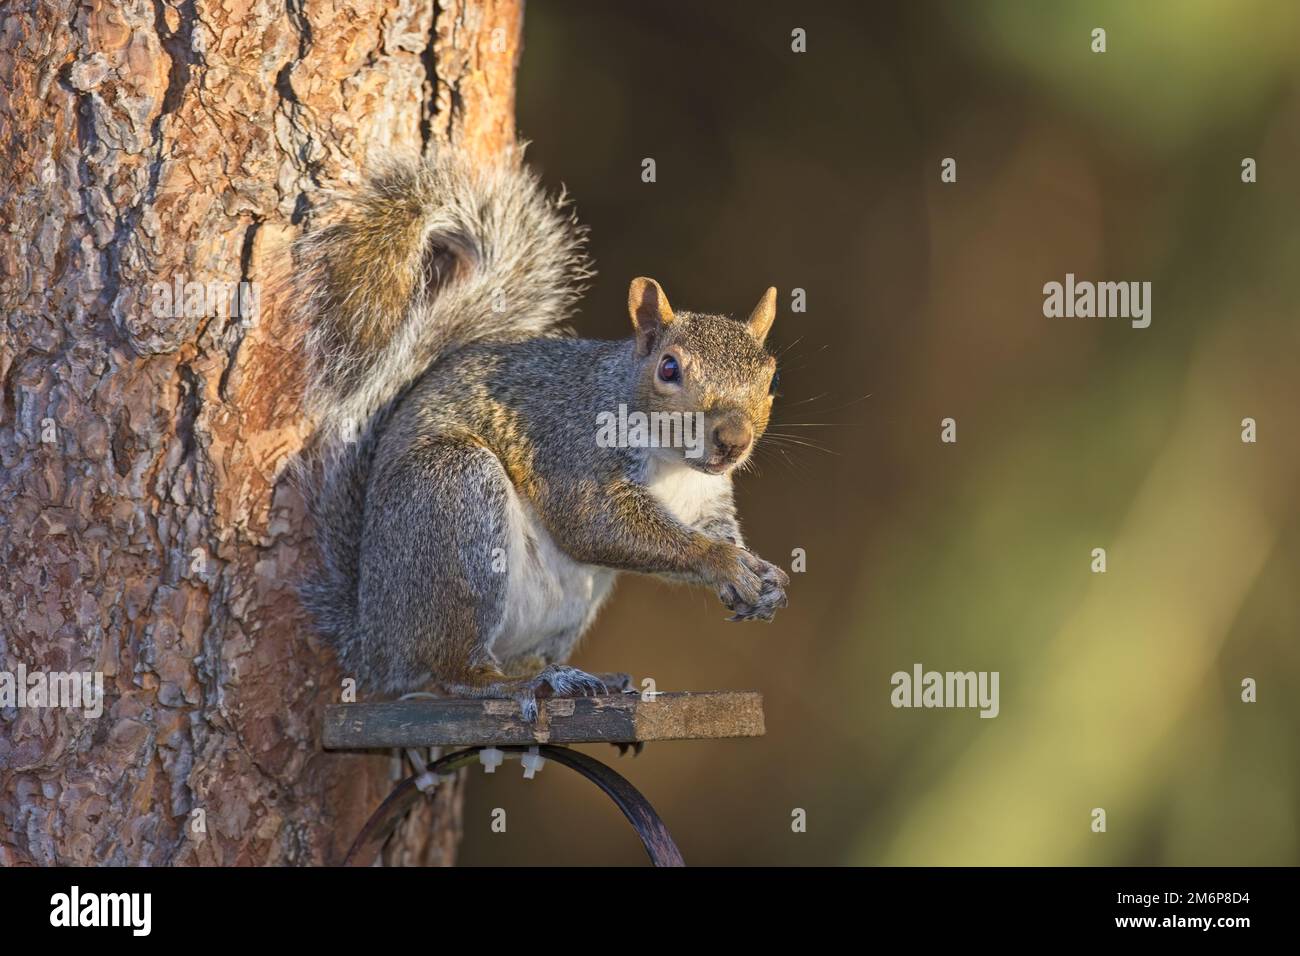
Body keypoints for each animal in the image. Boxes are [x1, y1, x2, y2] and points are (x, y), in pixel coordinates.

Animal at [293, 147, 789, 721]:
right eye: (669, 368)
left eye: (773, 379)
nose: (733, 440)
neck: (675, 468)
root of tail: (374, 643)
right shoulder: (570, 449)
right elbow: (595, 525)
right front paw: (721, 562)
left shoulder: (707, 502)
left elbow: (714, 531)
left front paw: (764, 578)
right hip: (452, 496)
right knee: (450, 673)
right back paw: (511, 684)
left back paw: (568, 676)